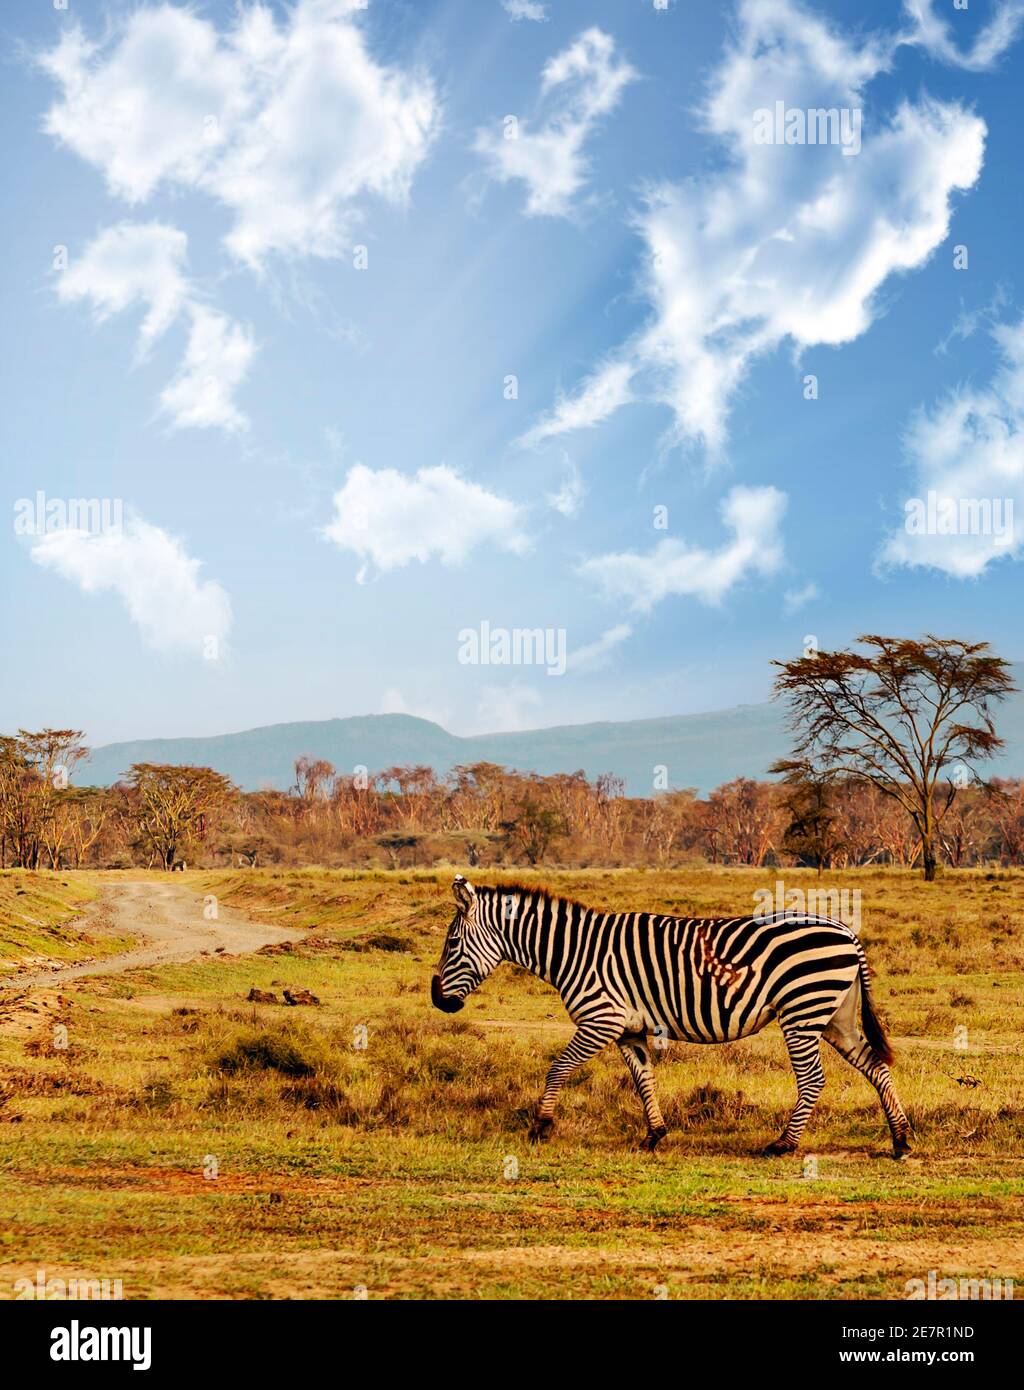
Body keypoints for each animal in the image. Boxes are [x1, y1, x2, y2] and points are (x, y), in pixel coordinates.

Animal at [431, 876, 911, 1158]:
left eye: (452, 943)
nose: (437, 1000)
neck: (575, 952)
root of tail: (846, 931)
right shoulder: (628, 1030)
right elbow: (644, 1079)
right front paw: (654, 1135)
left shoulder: (600, 1020)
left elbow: (558, 1068)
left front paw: (540, 1127)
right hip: (835, 1017)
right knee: (875, 1067)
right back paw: (901, 1140)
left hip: (802, 1012)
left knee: (813, 1078)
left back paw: (783, 1144)